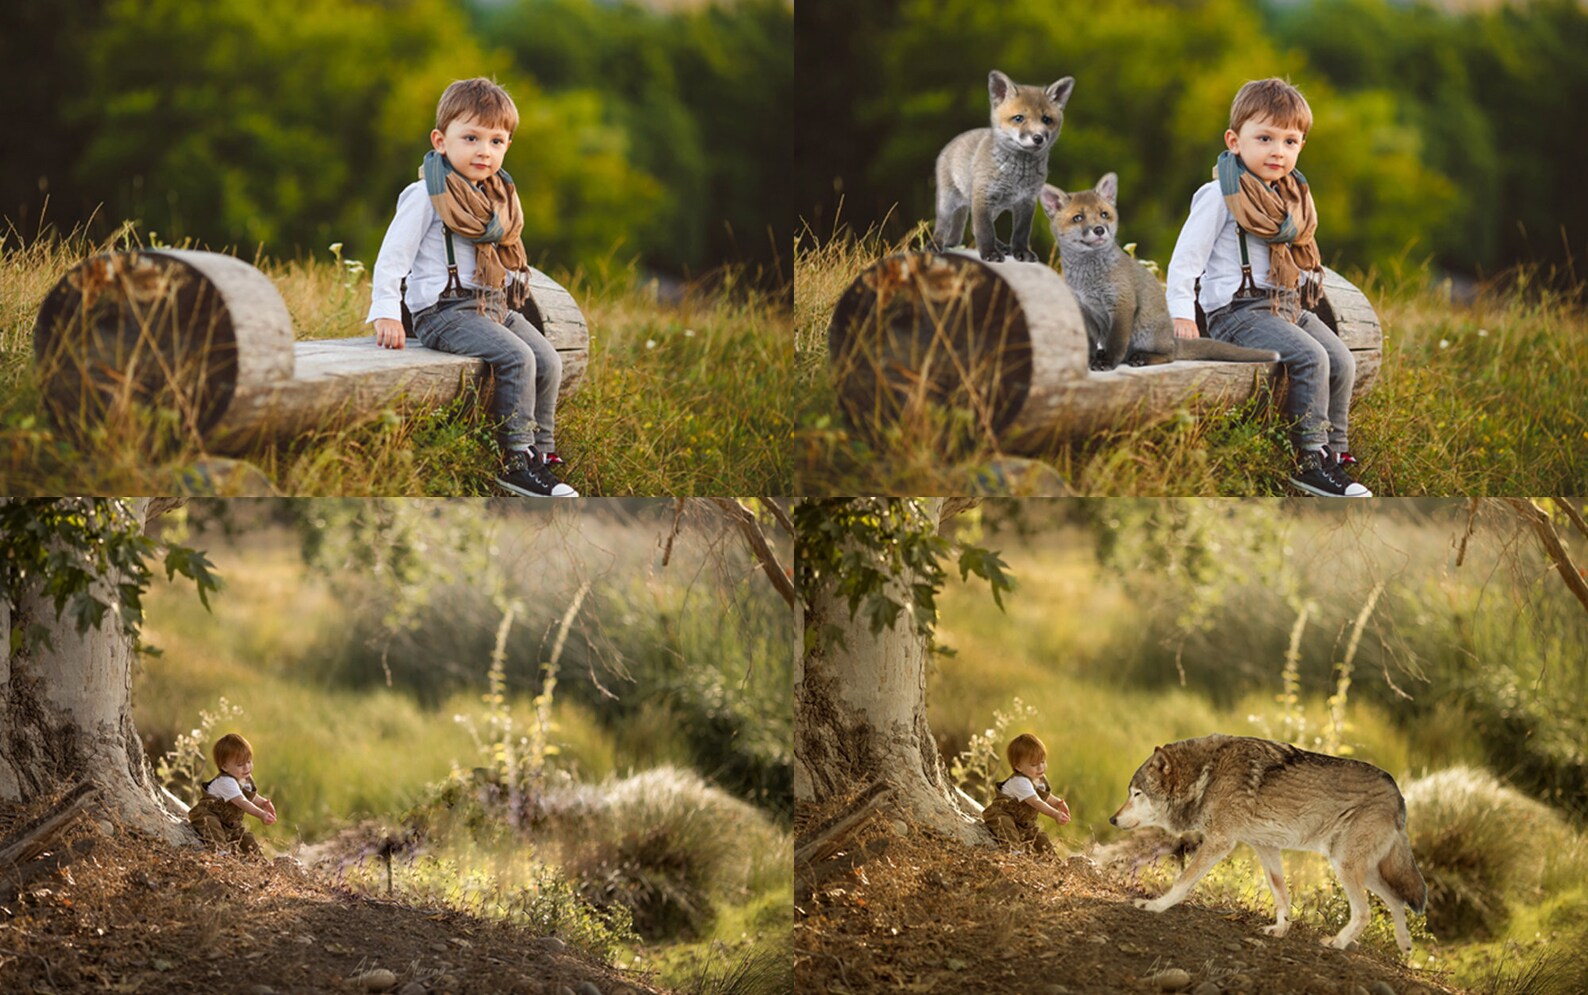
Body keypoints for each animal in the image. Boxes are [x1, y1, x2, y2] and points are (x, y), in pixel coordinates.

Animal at [933, 70, 1075, 264]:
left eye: (1046, 120)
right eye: (1019, 118)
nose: (1038, 138)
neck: (1017, 175)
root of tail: (955, 139)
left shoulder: (1027, 200)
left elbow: (1021, 232)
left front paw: (1021, 252)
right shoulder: (983, 196)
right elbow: (985, 231)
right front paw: (990, 253)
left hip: (994, 209)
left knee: (972, 227)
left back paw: (1003, 247)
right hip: (949, 202)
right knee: (942, 226)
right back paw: (934, 246)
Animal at [1041, 173, 1281, 372]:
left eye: (1104, 214)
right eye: (1078, 218)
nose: (1100, 230)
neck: (1087, 279)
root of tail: (1172, 337)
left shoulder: (1121, 304)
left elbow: (1116, 342)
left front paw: (1106, 363)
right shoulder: (1085, 309)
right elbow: (1089, 342)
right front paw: (1089, 360)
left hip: (1145, 332)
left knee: (1169, 355)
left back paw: (1142, 358)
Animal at [1110, 734, 1428, 954]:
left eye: (1136, 793)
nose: (1113, 819)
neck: (1206, 777)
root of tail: (1398, 793)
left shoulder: (1220, 842)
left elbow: (1182, 881)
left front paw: (1155, 906)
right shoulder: (1266, 849)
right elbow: (1281, 896)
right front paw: (1280, 929)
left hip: (1345, 865)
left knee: (1365, 912)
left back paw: (1337, 942)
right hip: (1362, 869)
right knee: (1396, 900)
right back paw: (1405, 944)